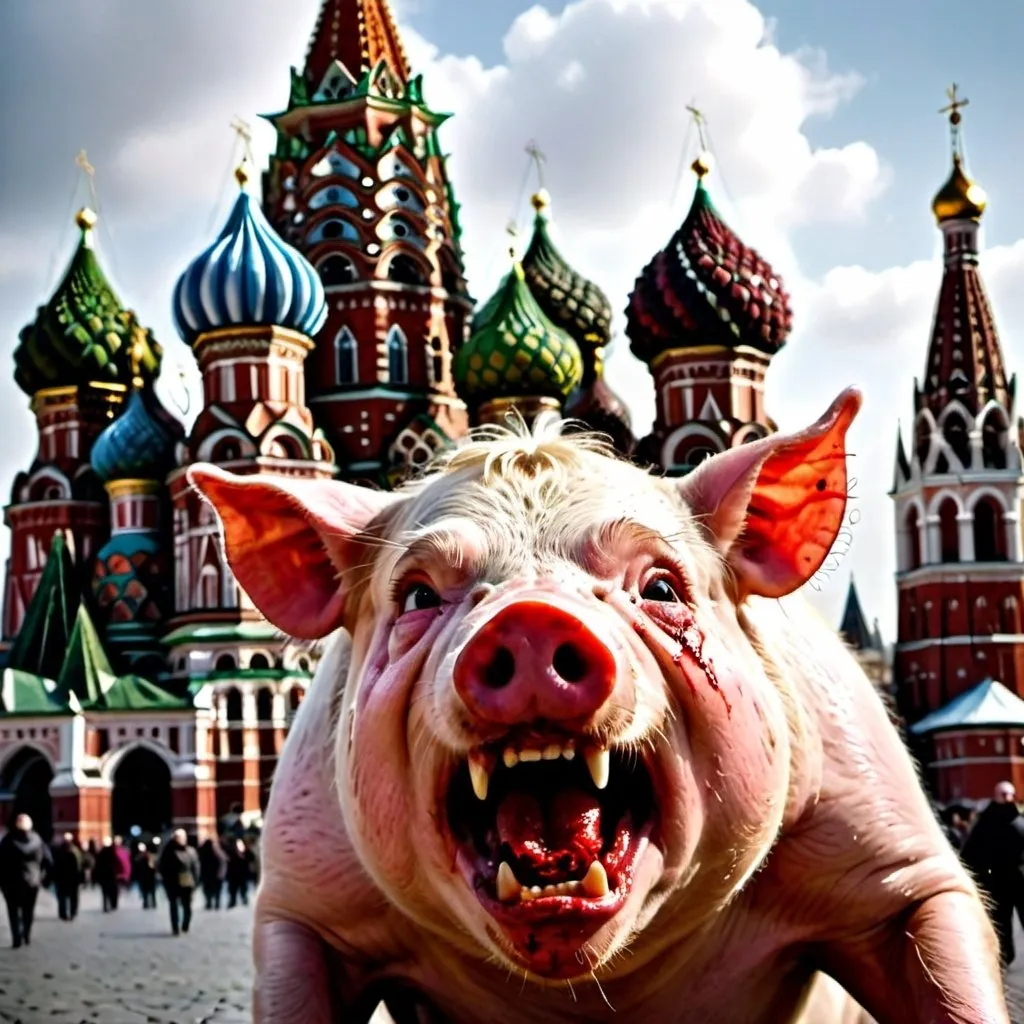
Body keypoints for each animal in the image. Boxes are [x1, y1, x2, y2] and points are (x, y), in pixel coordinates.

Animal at [190, 387, 1008, 1024]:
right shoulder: (302, 897)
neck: (602, 993)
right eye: (418, 594)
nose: (530, 620)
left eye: (661, 586)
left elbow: (944, 952)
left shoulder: (893, 854)